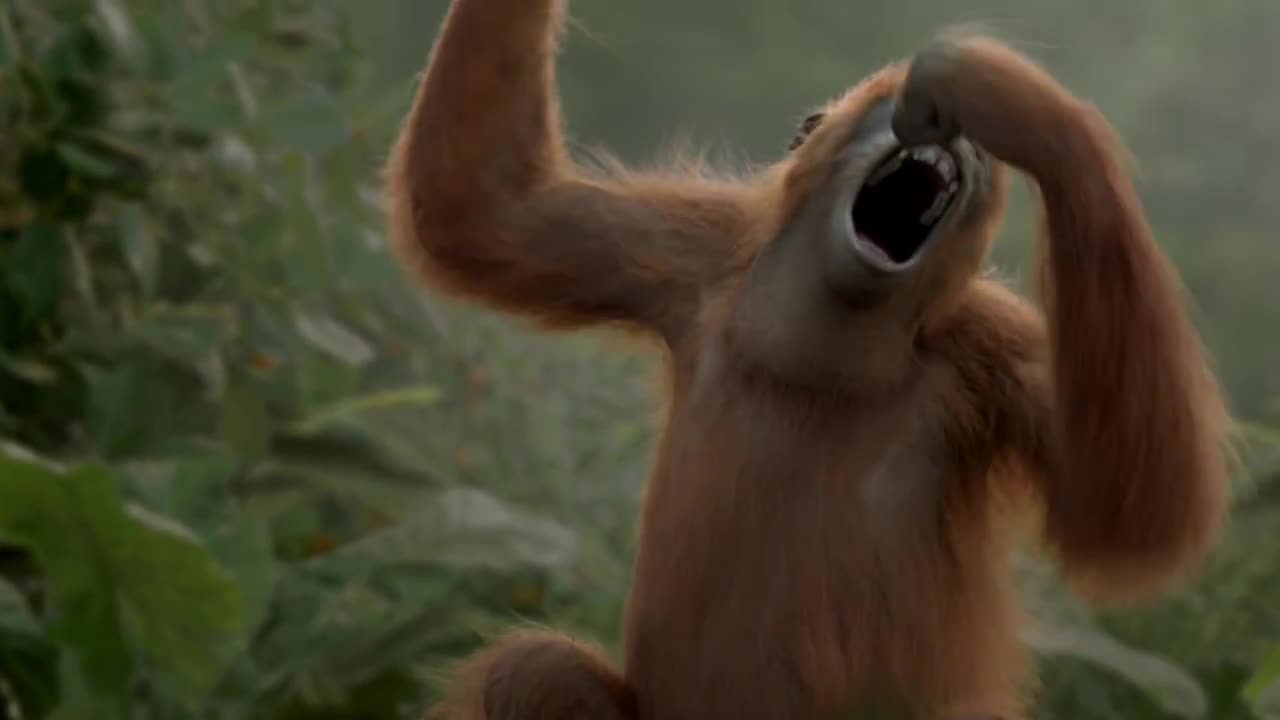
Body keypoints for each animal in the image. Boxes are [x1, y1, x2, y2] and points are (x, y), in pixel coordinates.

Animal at [385, 1, 1231, 718]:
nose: (955, 138)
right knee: (532, 672)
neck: (834, 327)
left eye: (991, 154)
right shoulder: (682, 251)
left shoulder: (990, 348)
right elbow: (489, 208)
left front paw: (1010, 99)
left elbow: (1126, 507)